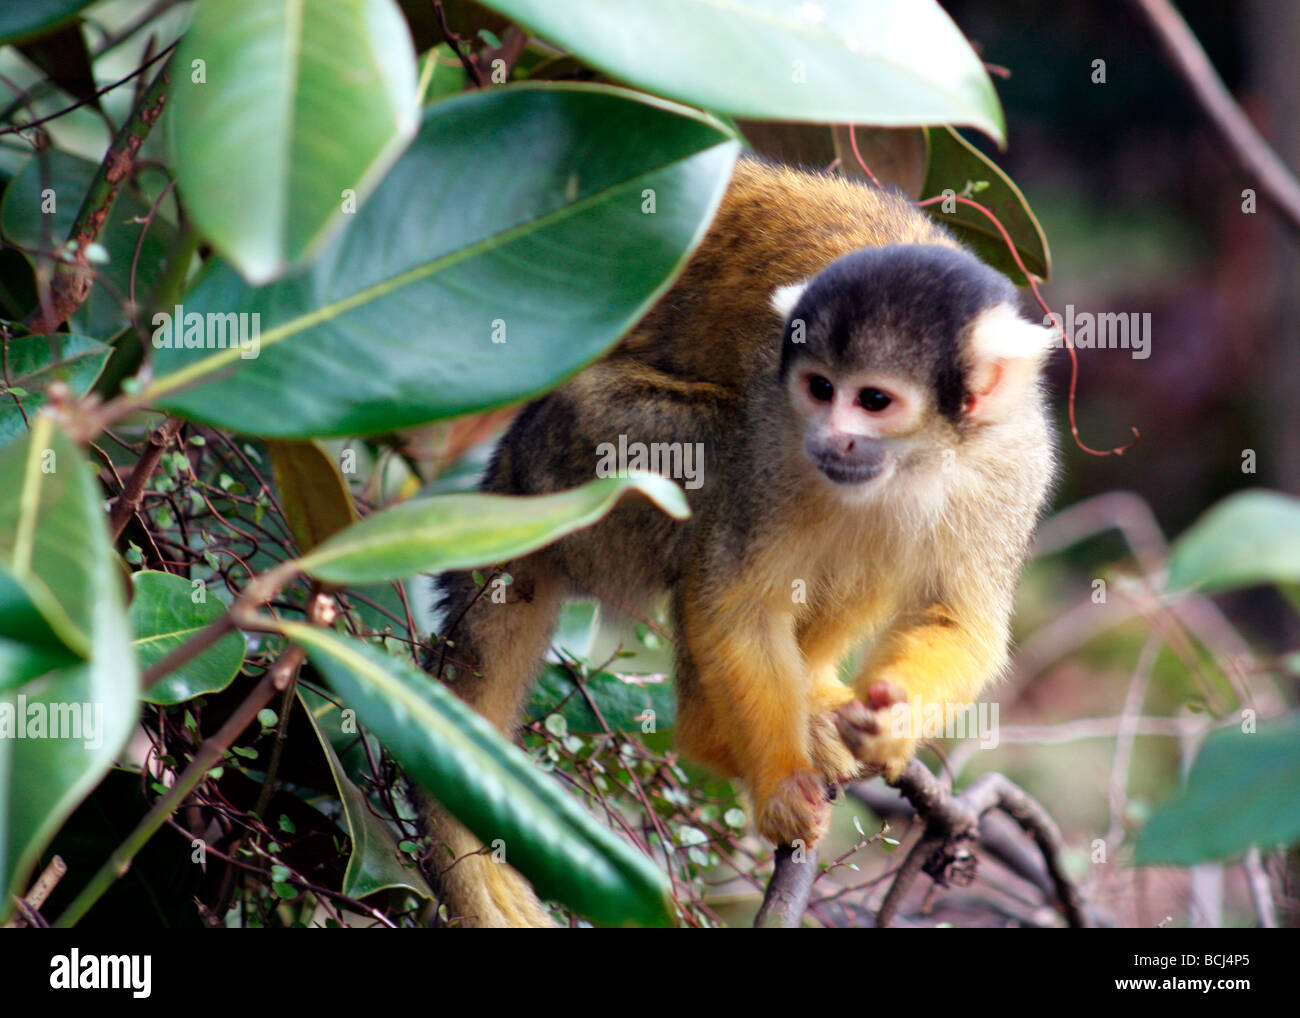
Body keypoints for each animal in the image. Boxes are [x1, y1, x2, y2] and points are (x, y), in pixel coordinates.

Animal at [424, 156, 1057, 927]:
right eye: (818, 389)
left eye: (873, 401)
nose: (831, 439)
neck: (920, 458)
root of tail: (508, 475)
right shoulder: (772, 426)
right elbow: (738, 600)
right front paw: (780, 784)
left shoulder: (1013, 464)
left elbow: (957, 622)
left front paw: (892, 723)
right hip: (574, 461)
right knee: (713, 453)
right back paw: (712, 733)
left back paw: (815, 692)